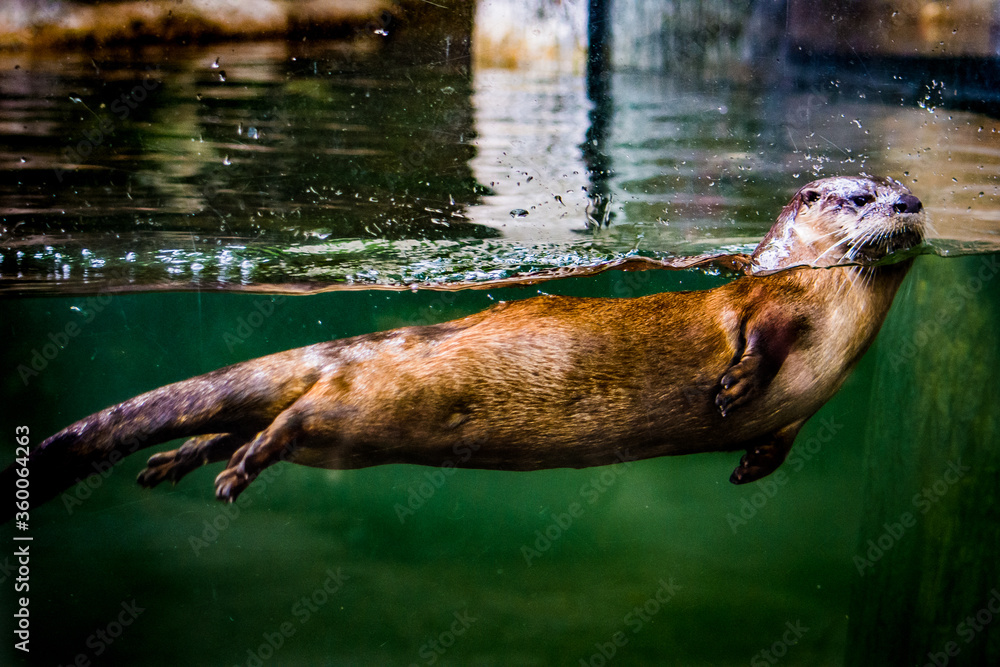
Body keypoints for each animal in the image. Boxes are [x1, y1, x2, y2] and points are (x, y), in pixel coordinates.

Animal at [3, 176, 925, 518]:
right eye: (857, 196)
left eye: (900, 190)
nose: (913, 201)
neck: (839, 320)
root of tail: (348, 350)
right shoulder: (764, 301)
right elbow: (752, 343)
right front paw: (733, 389)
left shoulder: (812, 392)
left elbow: (789, 429)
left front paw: (752, 461)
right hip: (370, 400)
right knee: (294, 418)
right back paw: (232, 470)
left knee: (254, 418)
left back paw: (178, 462)